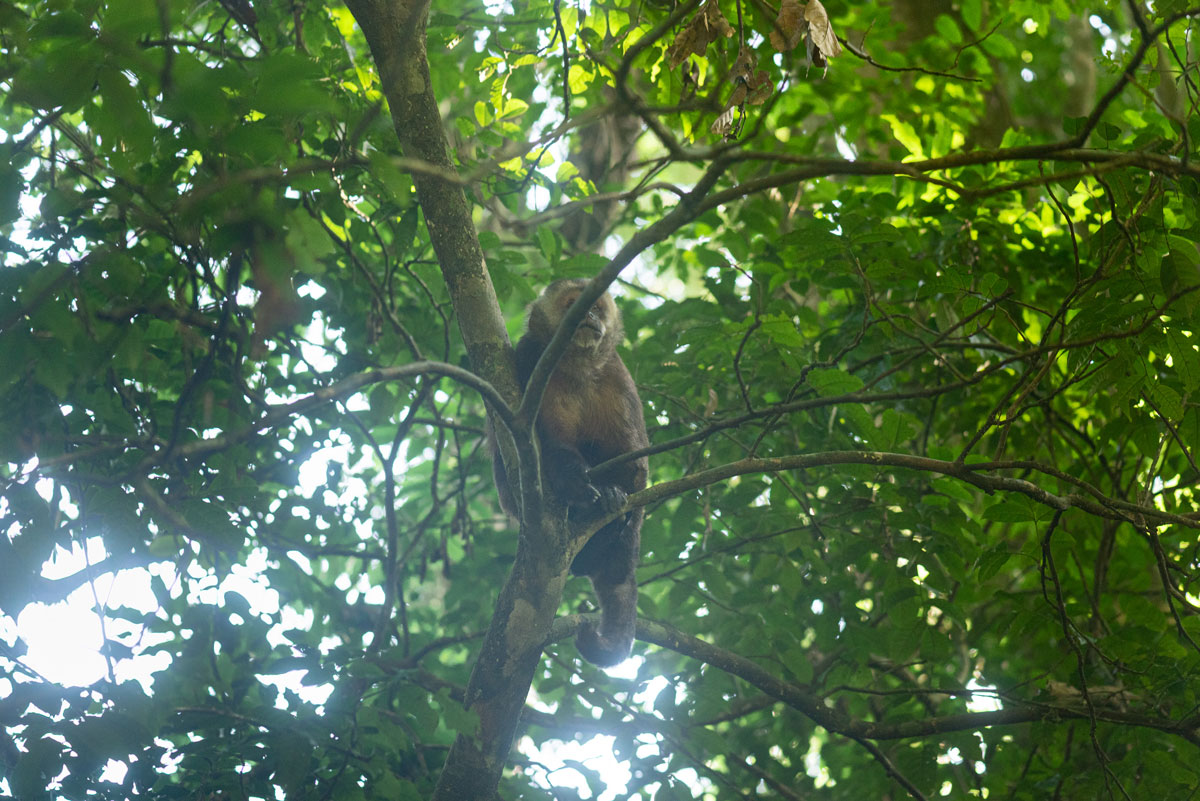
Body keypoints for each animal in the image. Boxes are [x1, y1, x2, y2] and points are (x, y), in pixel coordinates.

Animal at [492, 278, 649, 667]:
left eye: (598, 307)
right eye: (574, 304)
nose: (589, 315)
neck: (577, 366)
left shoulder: (616, 373)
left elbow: (633, 458)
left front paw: (613, 496)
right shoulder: (532, 357)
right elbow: (550, 443)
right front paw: (577, 483)